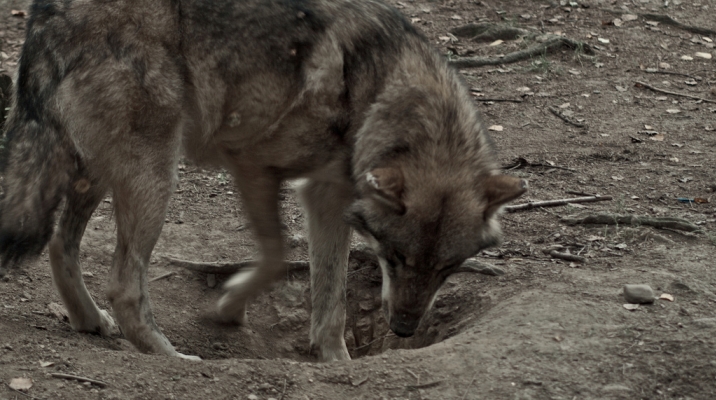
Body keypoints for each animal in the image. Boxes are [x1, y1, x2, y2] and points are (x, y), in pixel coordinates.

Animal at [0, 0, 526, 361]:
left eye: (448, 268)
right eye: (394, 258)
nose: (401, 330)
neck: (376, 89)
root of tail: (47, 15)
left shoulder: (322, 193)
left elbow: (313, 284)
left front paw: (325, 355)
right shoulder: (261, 169)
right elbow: (286, 262)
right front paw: (236, 311)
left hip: (95, 169)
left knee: (59, 243)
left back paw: (88, 321)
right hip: (154, 175)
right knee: (124, 284)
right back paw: (172, 357)